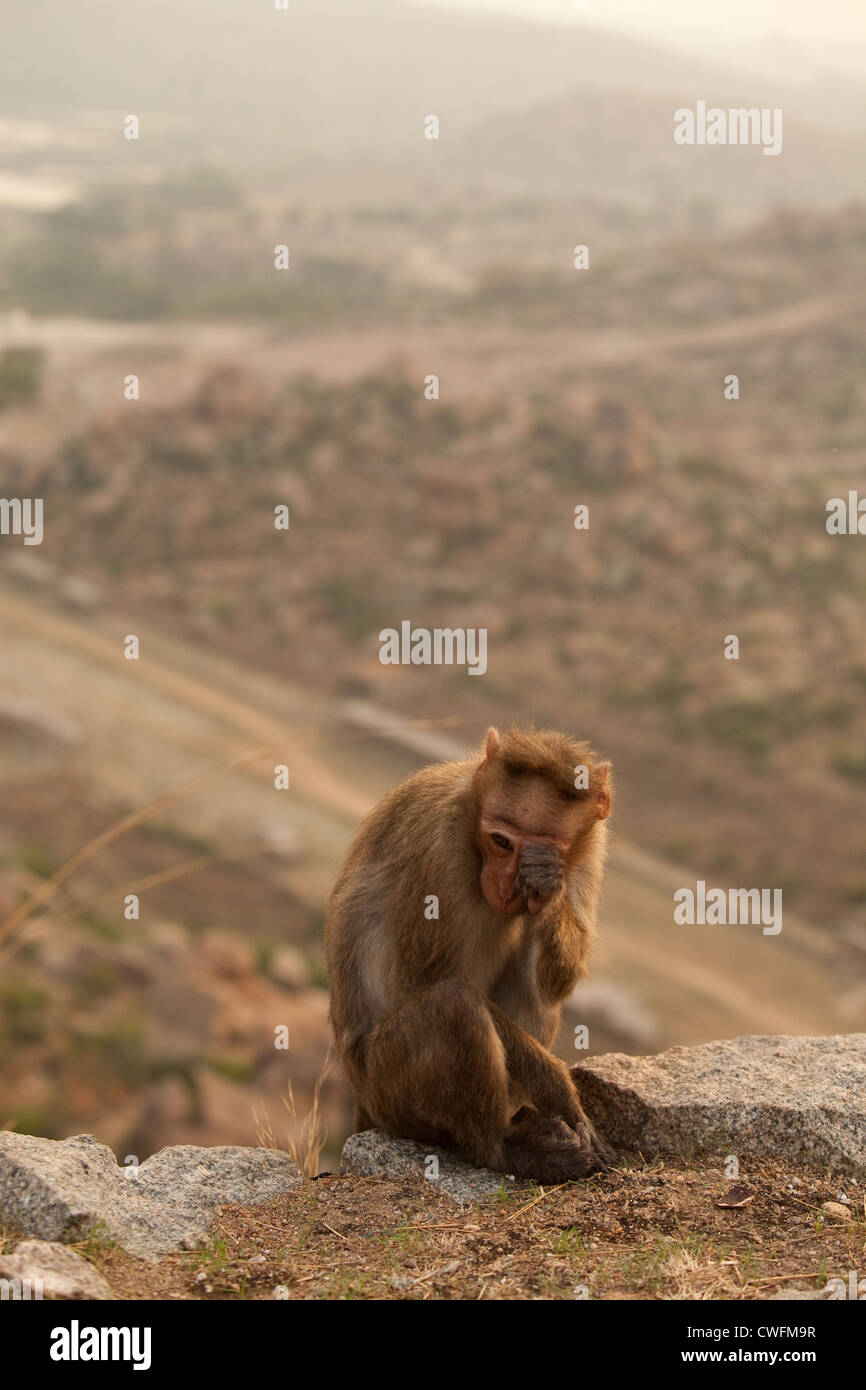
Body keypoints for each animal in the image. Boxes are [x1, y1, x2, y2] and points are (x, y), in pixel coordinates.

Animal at [325, 724, 614, 1183]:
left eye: (545, 847)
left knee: (534, 991)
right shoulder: (436, 841)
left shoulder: (589, 850)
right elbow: (424, 983)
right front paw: (560, 1090)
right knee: (452, 1005)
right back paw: (504, 1149)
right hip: (388, 1092)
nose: (512, 886)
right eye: (501, 841)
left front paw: (547, 885)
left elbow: (555, 984)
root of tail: (361, 1100)